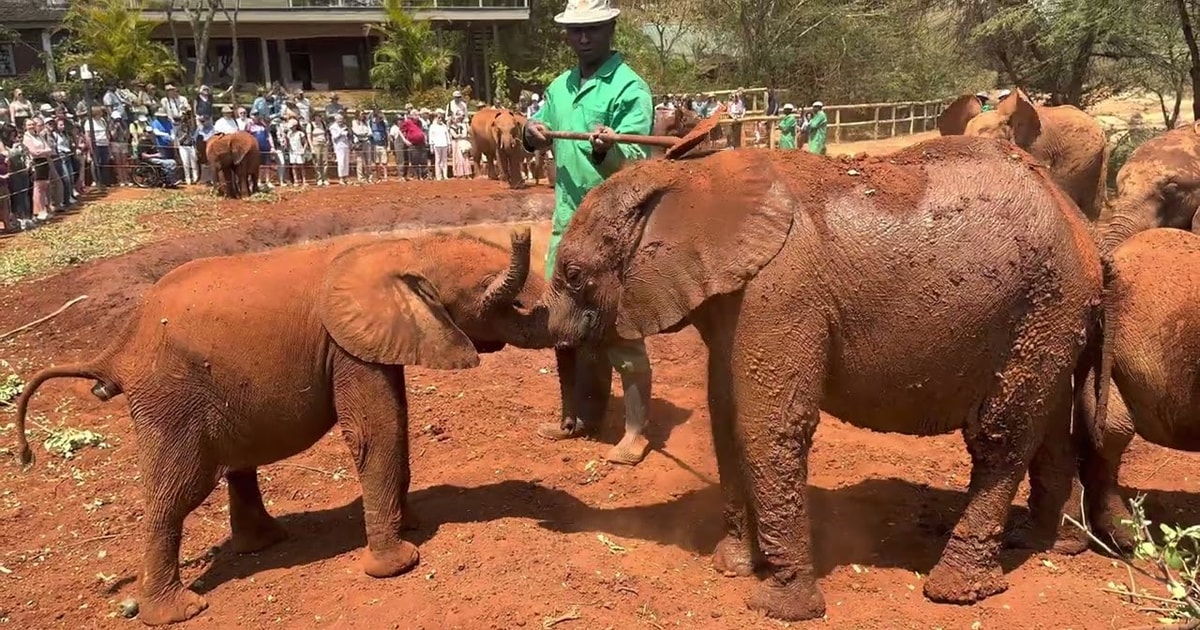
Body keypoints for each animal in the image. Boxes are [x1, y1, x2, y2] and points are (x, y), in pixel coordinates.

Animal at [12, 227, 551, 626]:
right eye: (498, 299)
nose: (522, 231)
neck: (400, 248)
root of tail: (118, 350)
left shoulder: (371, 343)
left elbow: (394, 420)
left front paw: (412, 525)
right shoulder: (346, 348)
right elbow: (377, 431)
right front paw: (399, 563)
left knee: (234, 467)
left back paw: (265, 543)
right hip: (170, 398)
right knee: (175, 493)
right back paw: (180, 611)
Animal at [539, 135, 1106, 622]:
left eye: (574, 275)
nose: (562, 432)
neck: (691, 176)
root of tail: (1081, 223)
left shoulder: (781, 290)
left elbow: (769, 427)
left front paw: (778, 607)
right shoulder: (734, 304)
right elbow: (726, 419)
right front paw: (732, 567)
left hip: (1045, 301)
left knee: (1001, 438)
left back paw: (955, 590)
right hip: (1052, 314)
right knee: (1049, 429)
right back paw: (1045, 544)